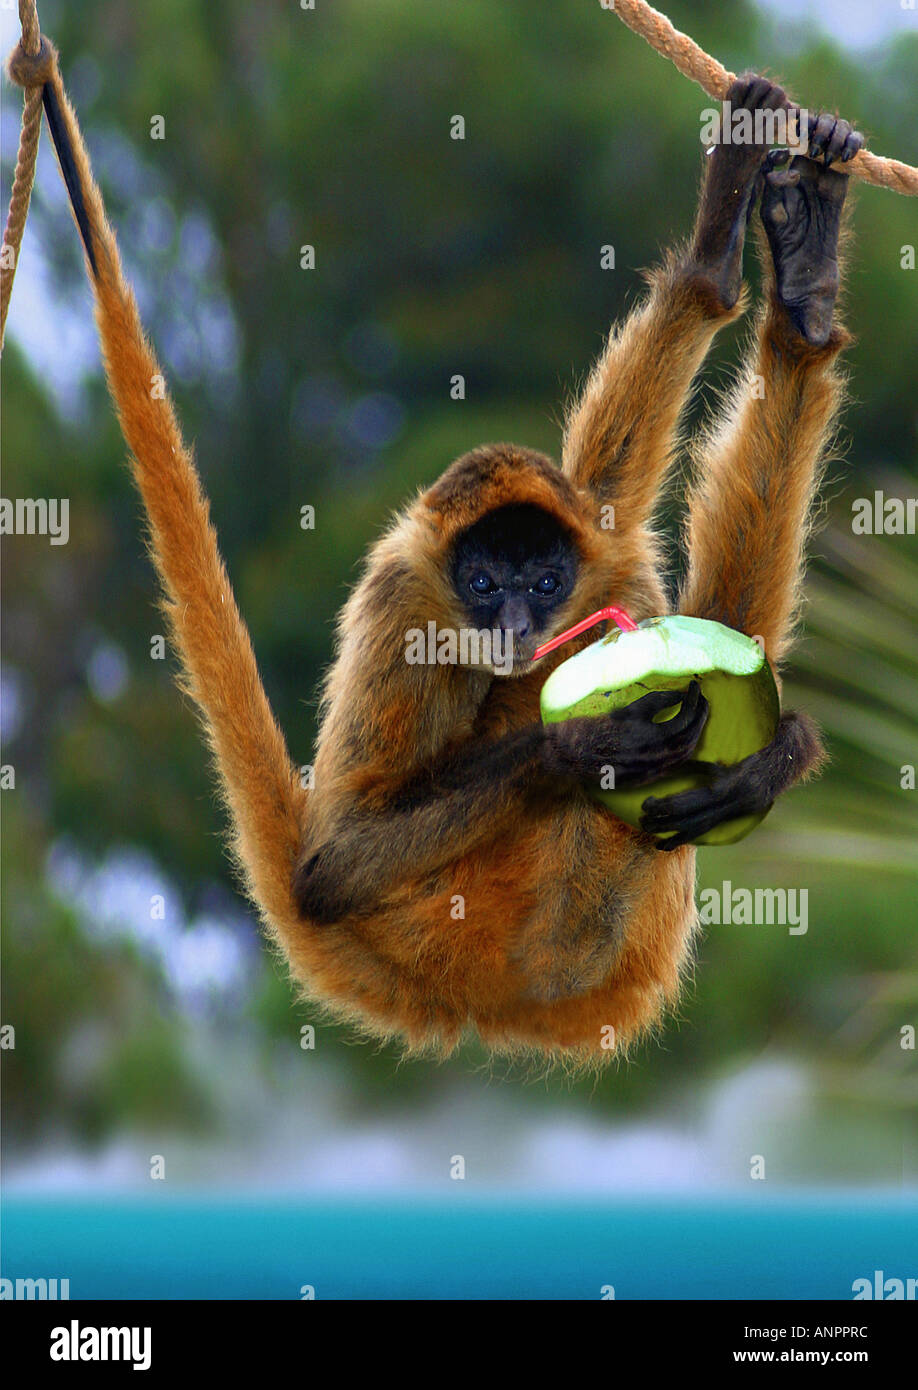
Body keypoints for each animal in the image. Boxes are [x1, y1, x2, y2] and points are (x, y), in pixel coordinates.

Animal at [24, 46, 861, 1064]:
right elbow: (334, 863)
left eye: (541, 581)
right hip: (470, 917)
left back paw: (798, 297)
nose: (517, 620)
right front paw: (579, 747)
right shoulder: (403, 601)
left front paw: (719, 258)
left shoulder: (589, 547)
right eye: (482, 582)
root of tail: (487, 1011)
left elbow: (606, 483)